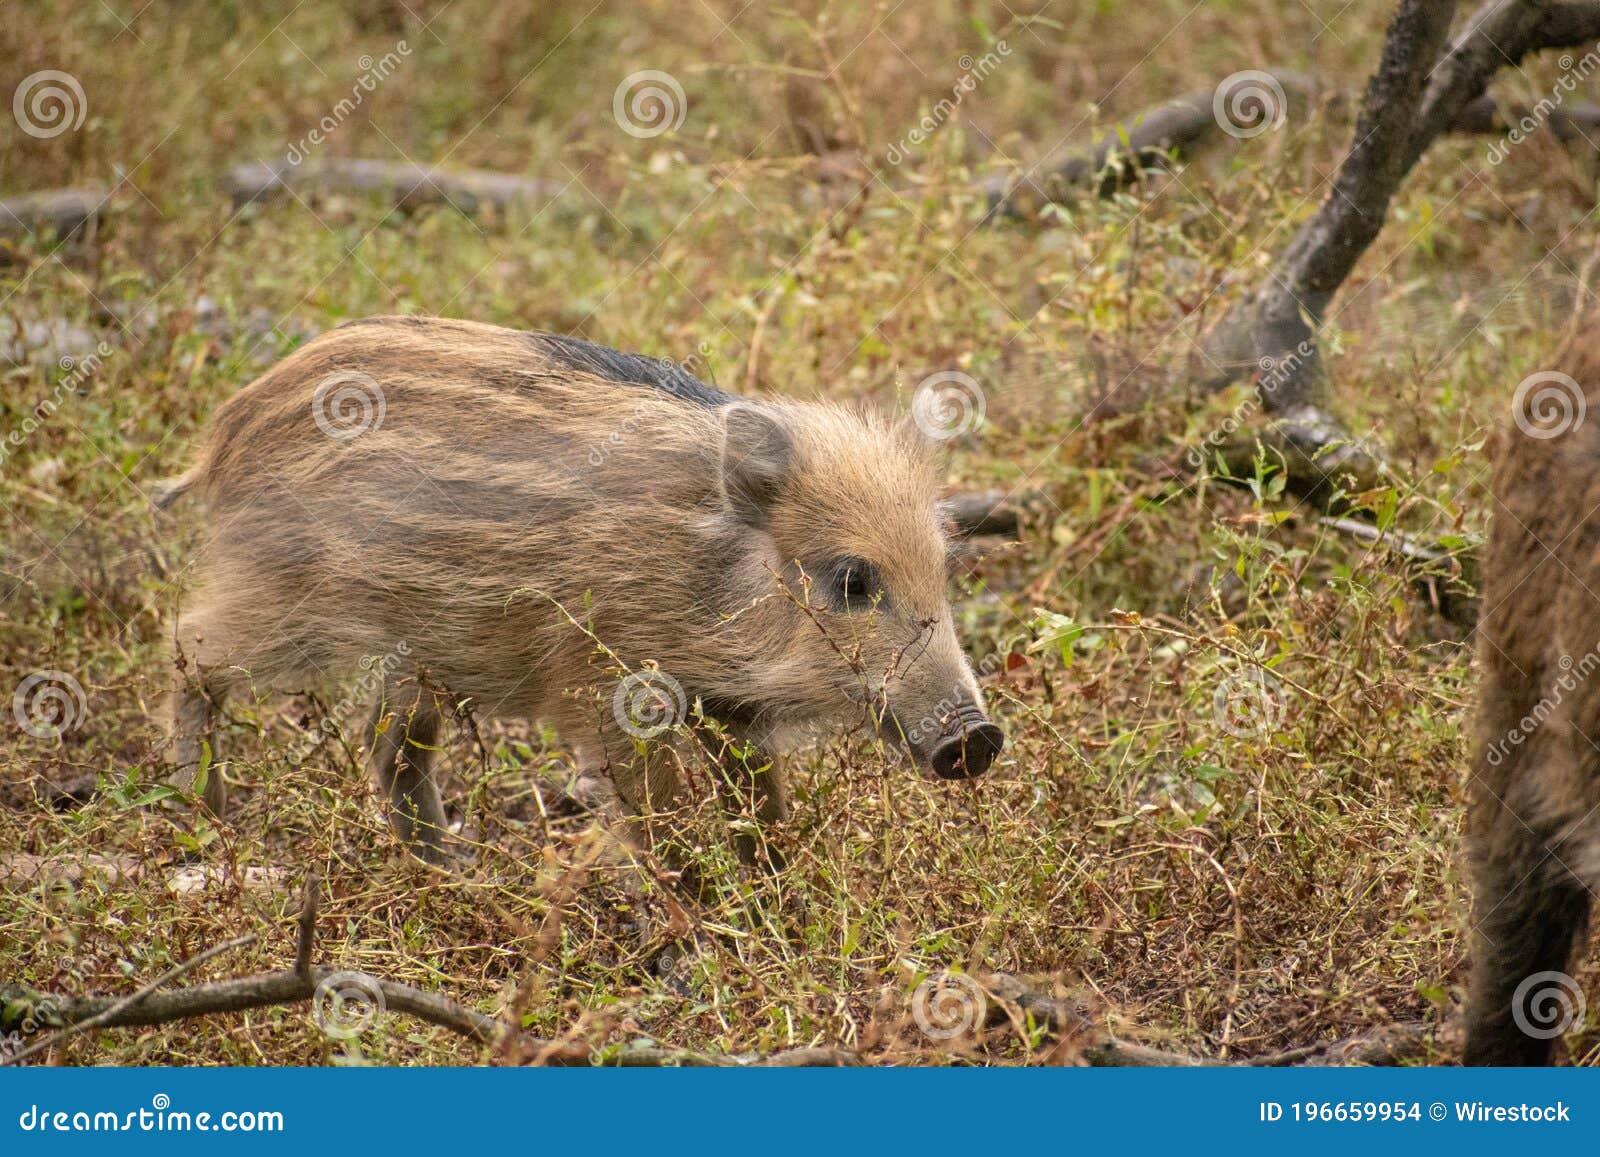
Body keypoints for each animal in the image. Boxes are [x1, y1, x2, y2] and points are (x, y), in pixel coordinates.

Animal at [154, 315, 1003, 866]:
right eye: (851, 578)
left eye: (943, 570)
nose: (980, 737)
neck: (702, 559)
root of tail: (222, 431)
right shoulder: (610, 692)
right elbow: (660, 811)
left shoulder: (732, 703)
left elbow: (759, 798)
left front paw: (773, 885)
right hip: (279, 586)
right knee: (191, 646)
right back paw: (208, 820)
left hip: (415, 647)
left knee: (390, 748)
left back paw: (454, 869)